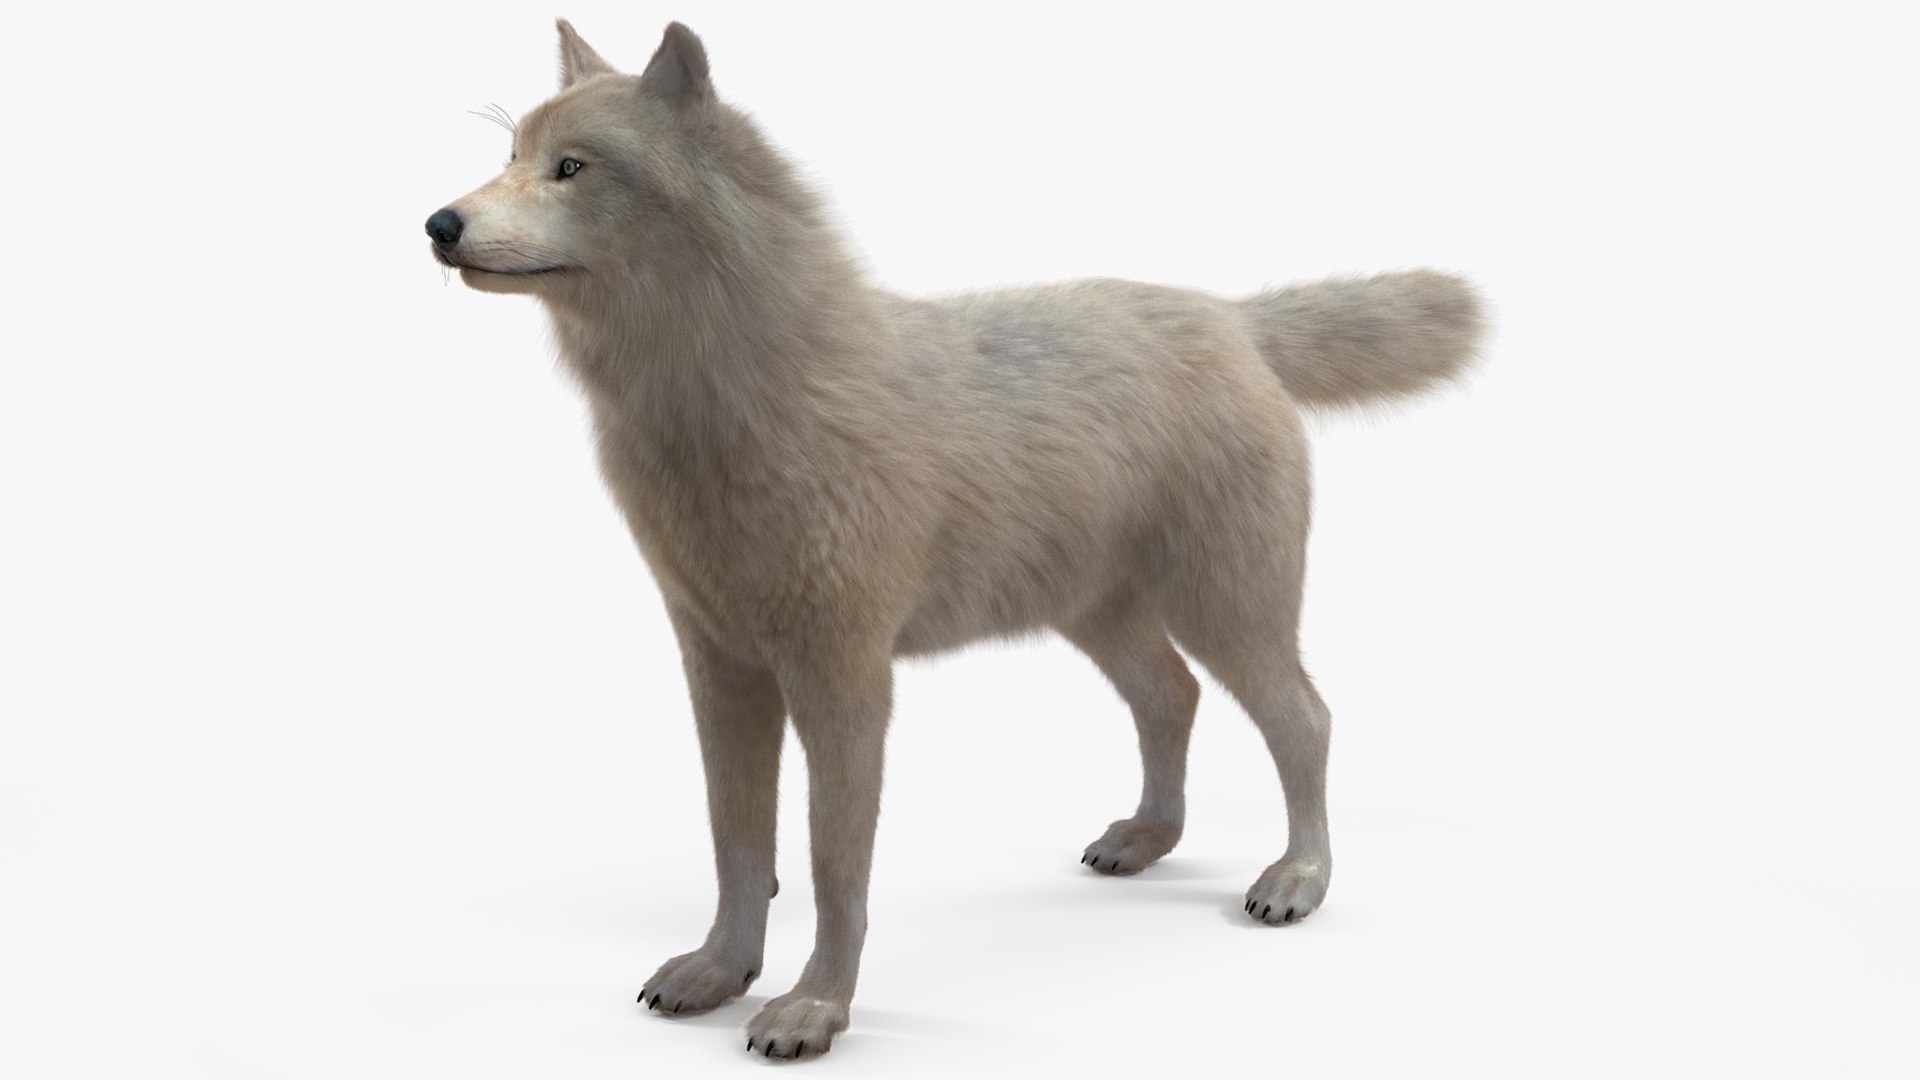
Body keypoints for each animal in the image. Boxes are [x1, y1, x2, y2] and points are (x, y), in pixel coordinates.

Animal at [425, 19, 1485, 1060]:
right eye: (509, 157)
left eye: (571, 167)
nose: (439, 223)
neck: (737, 400)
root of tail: (1231, 319)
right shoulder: (720, 665)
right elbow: (737, 845)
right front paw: (718, 973)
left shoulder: (845, 680)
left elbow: (832, 867)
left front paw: (813, 1010)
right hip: (1099, 614)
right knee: (1172, 697)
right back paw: (1143, 839)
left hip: (1227, 611)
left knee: (1305, 720)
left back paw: (1298, 878)